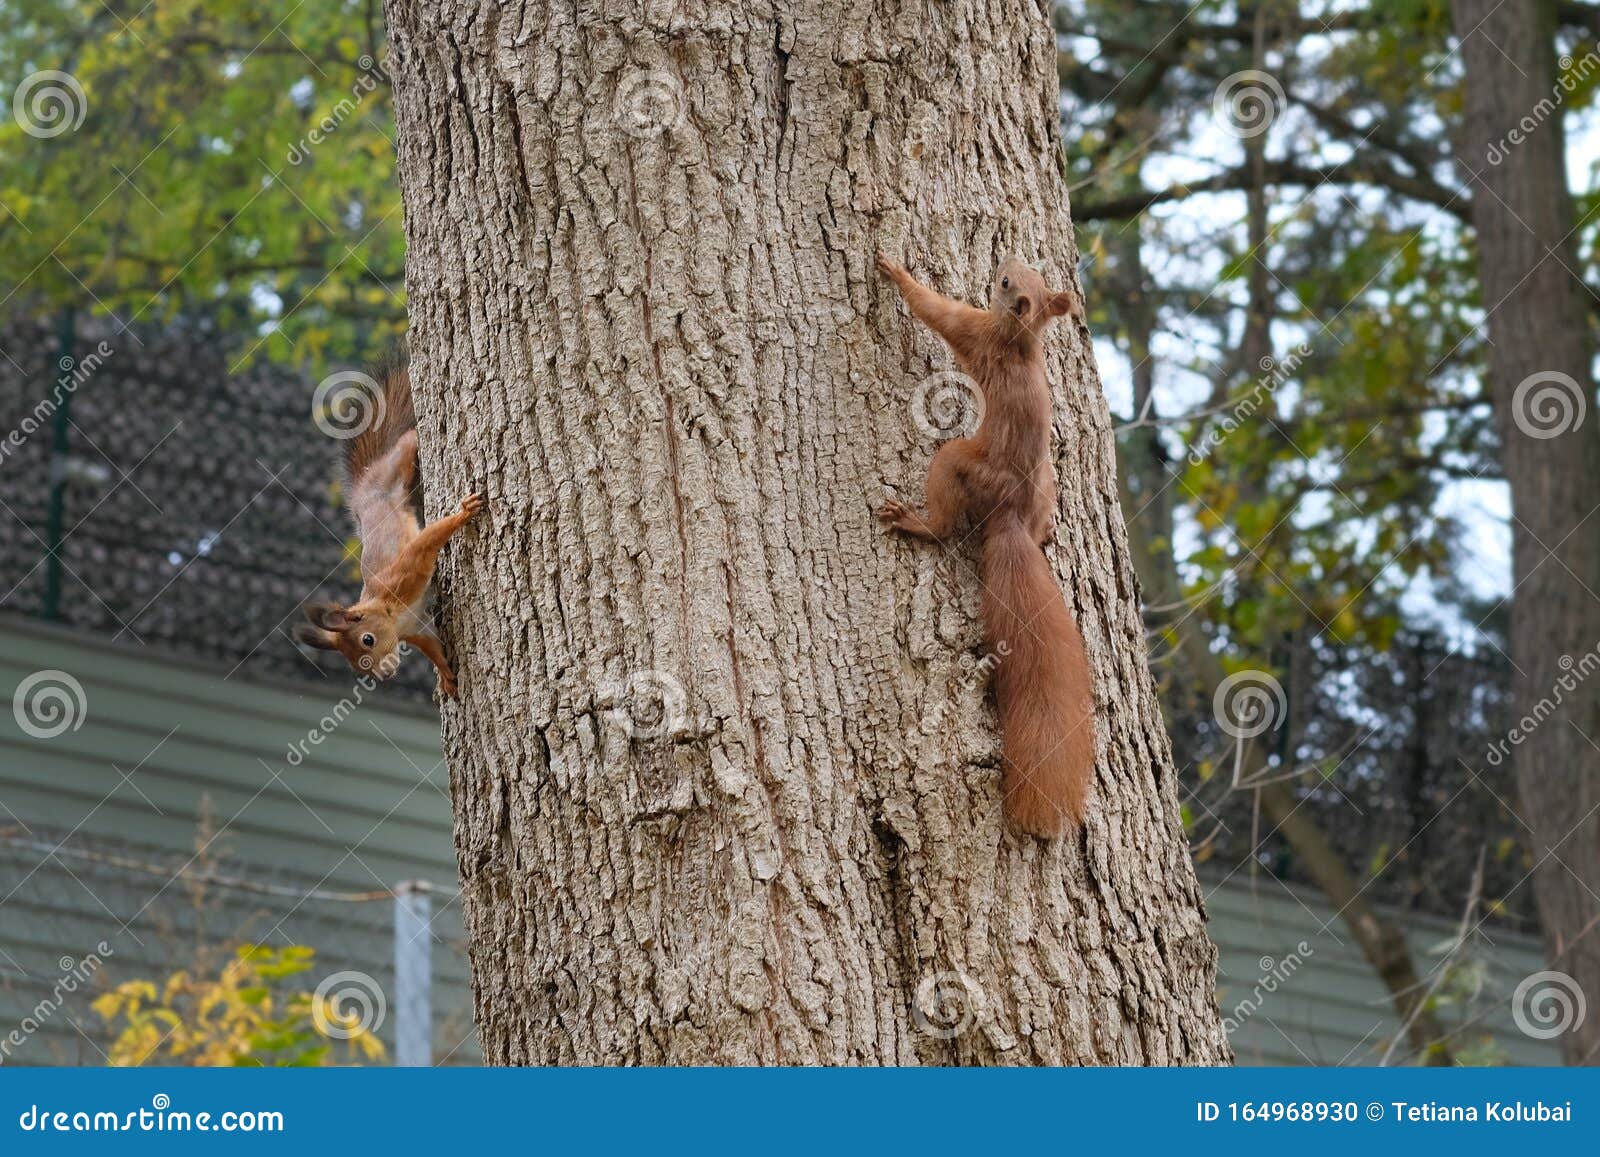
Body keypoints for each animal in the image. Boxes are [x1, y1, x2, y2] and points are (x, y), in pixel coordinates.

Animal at [295, 356, 485, 698]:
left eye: (367, 640)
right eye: (356, 665)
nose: (384, 674)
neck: (389, 612)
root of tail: (362, 487)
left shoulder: (404, 574)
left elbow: (429, 540)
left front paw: (463, 514)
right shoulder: (416, 629)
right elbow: (431, 647)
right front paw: (446, 675)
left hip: (396, 466)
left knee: (407, 442)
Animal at [875, 250, 1096, 836]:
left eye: (1003, 282)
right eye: (1020, 272)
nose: (1004, 259)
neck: (1022, 339)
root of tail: (1012, 518)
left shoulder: (974, 331)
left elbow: (935, 312)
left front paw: (895, 271)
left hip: (958, 461)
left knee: (947, 517)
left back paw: (917, 523)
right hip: (1046, 490)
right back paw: (1045, 532)